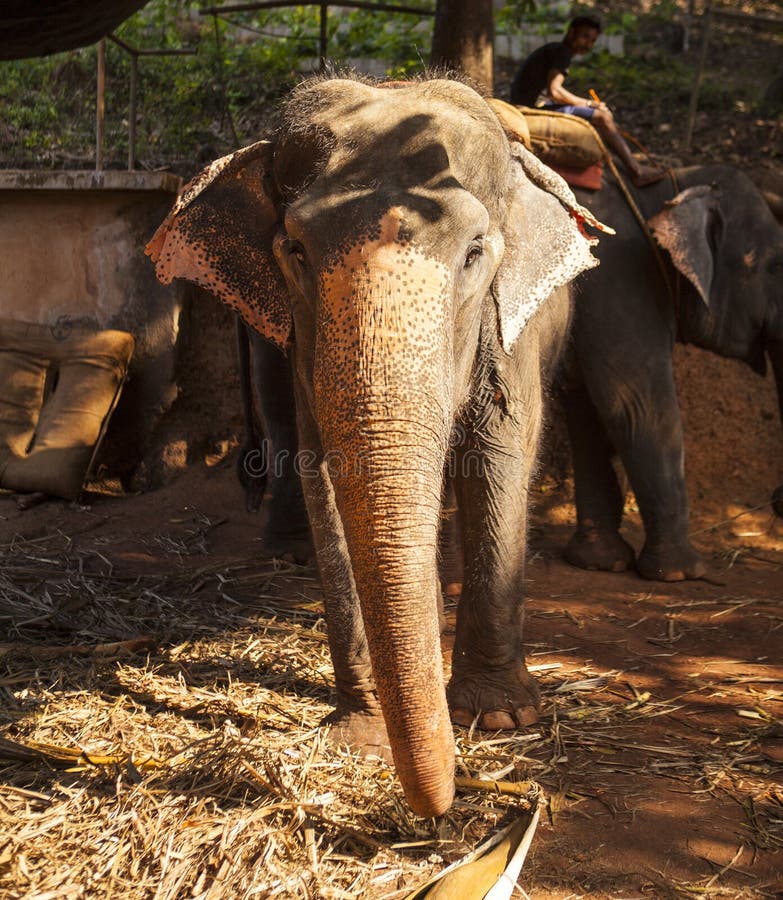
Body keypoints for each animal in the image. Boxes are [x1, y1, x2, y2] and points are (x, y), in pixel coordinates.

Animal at [146, 76, 611, 817]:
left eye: (475, 251)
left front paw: (500, 718)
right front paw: (357, 734)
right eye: (295, 251)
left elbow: (499, 444)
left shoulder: (510, 323)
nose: (444, 804)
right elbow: (321, 467)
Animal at [563, 166, 783, 581]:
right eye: (776, 266)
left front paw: (601, 562)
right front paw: (681, 573)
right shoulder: (618, 278)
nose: (776, 499)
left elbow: (588, 406)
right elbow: (637, 404)